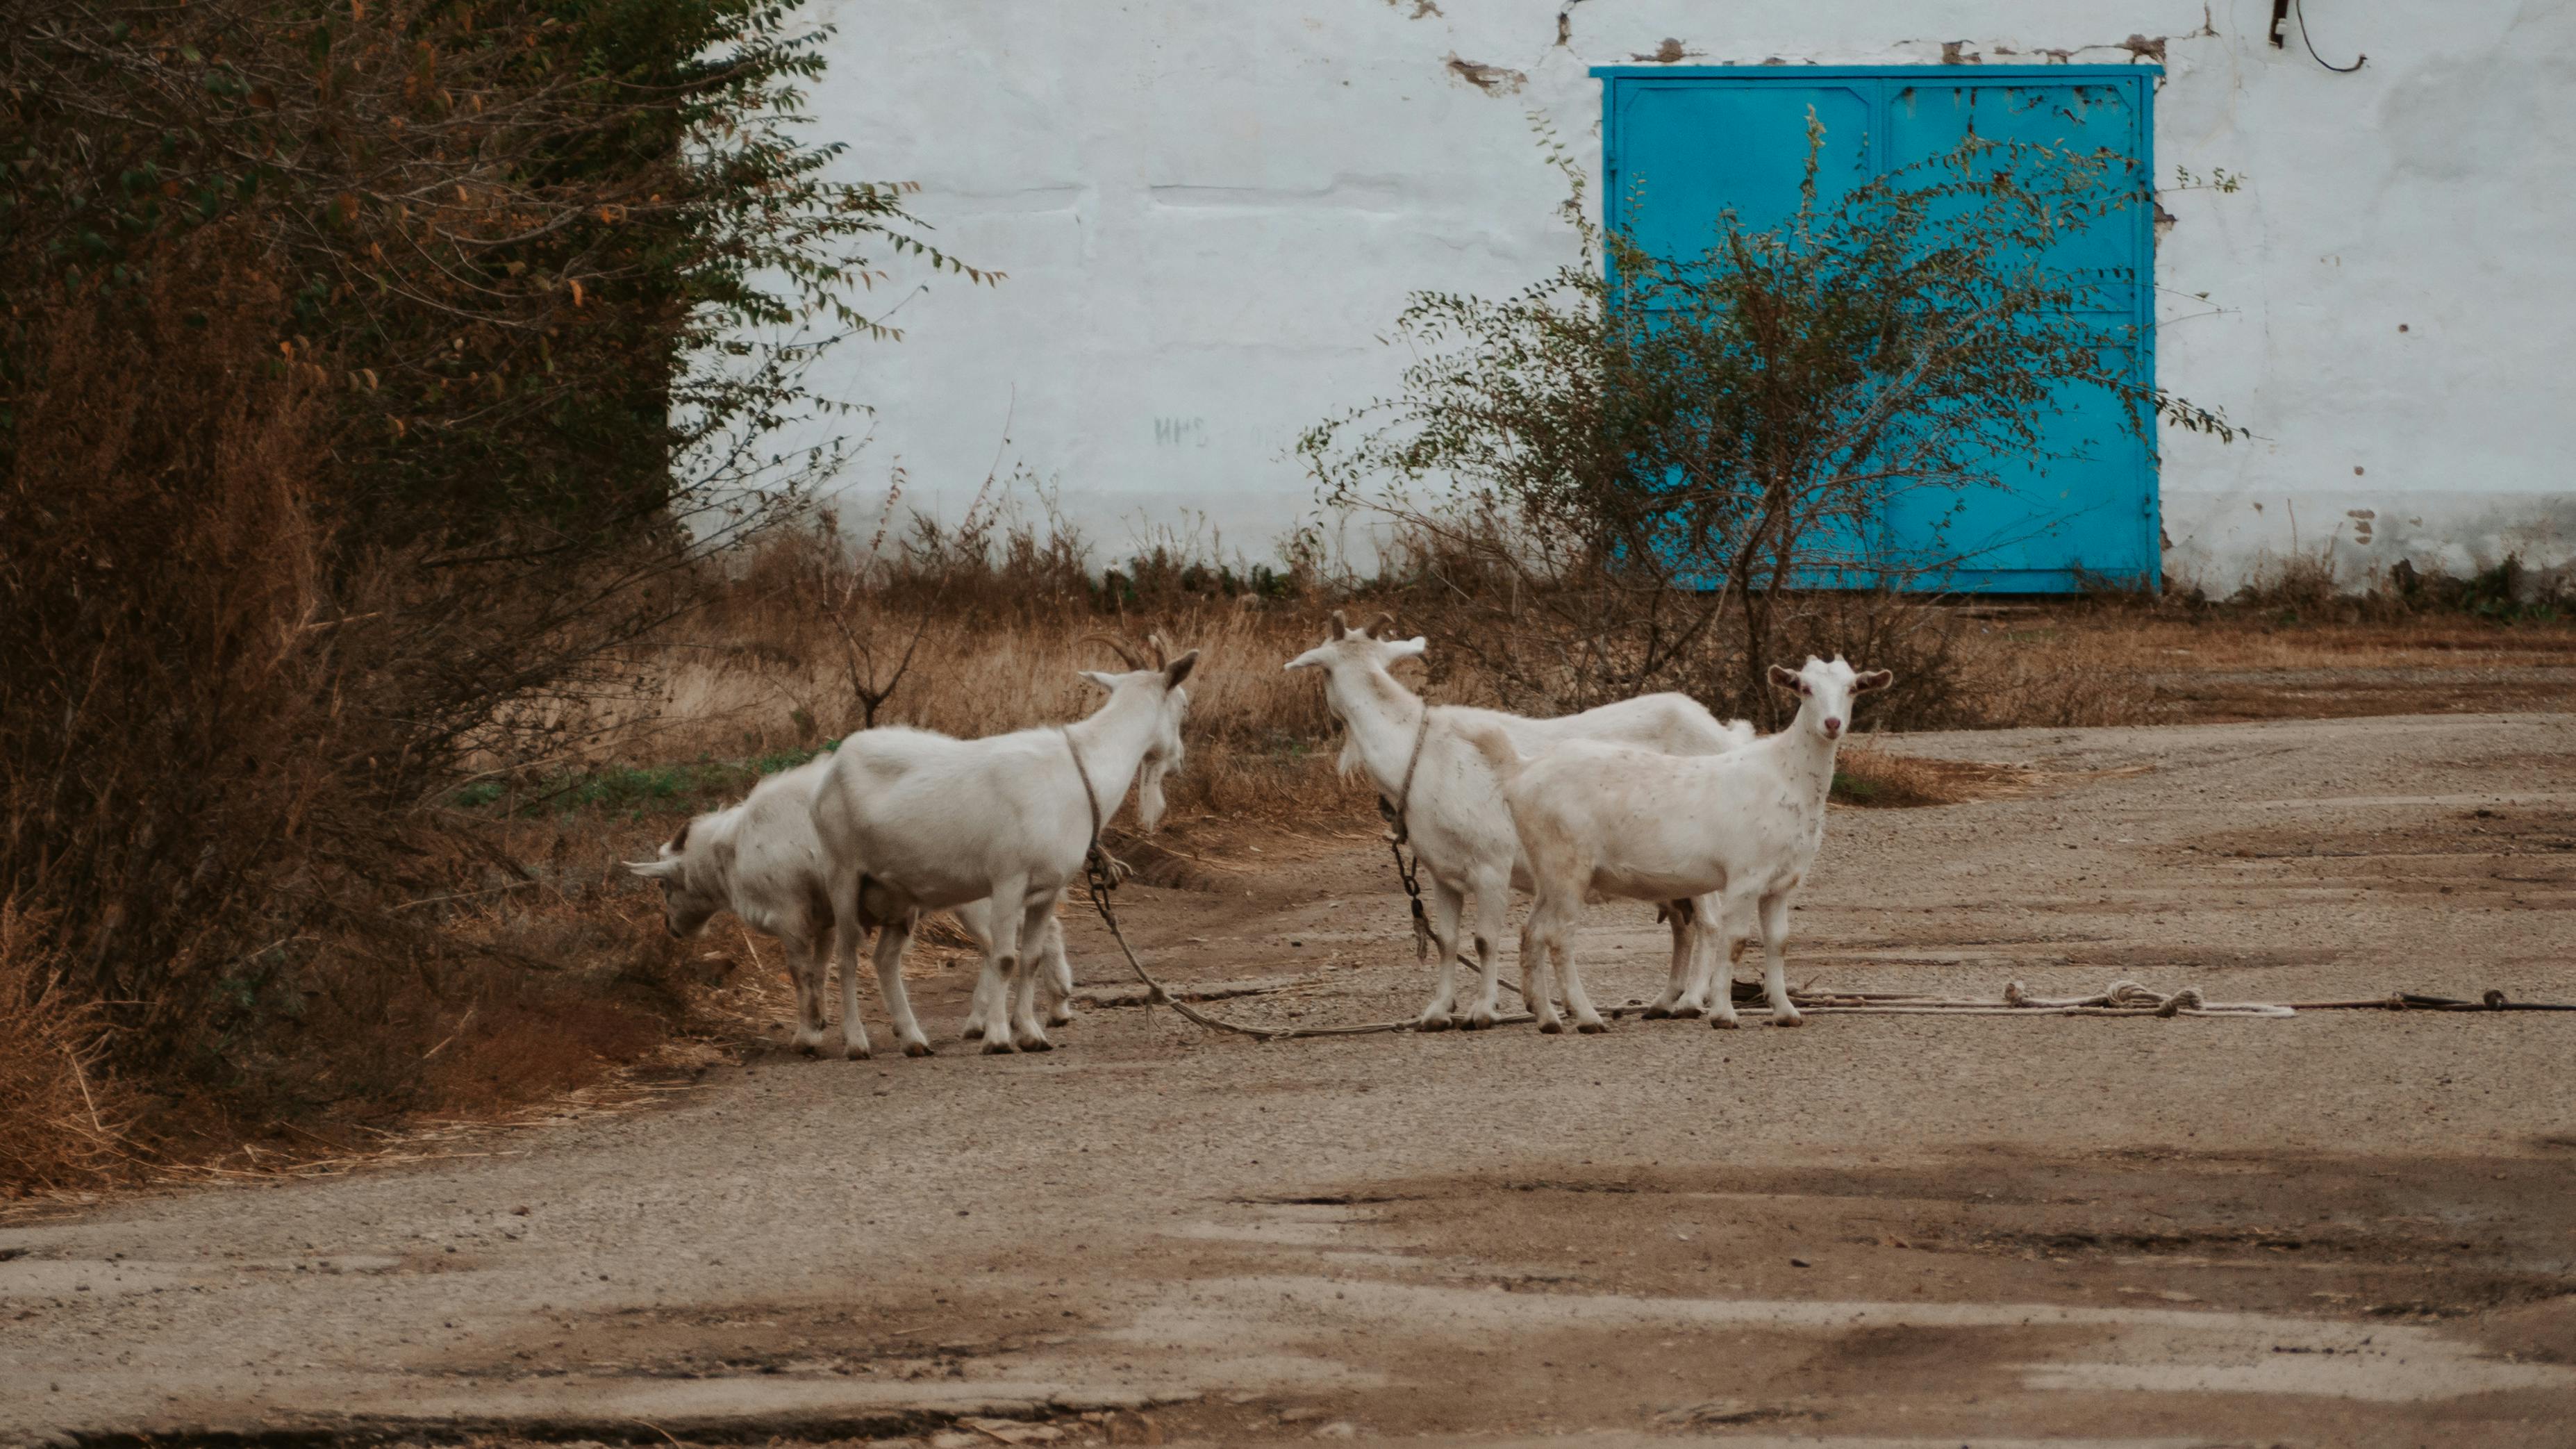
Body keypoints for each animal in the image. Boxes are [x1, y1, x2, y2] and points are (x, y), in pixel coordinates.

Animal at [810, 642, 1199, 1056]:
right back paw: (857, 1042)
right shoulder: (1009, 879)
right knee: (847, 958)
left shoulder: (1047, 889)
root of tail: (832, 770)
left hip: (900, 893)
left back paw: (914, 1039)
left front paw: (1030, 1034)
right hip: (843, 873)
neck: (1078, 774)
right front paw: (997, 1037)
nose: (1179, 760)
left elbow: (1030, 959)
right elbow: (1005, 959)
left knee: (885, 960)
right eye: (1184, 705)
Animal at [1283, 611, 1754, 1031]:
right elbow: (1448, 941)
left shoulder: (1491, 865)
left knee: (1708, 922)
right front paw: (1437, 1012)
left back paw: (1691, 1002)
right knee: (1681, 925)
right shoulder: (1442, 874)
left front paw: (1483, 1011)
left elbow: (1485, 940)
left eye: (1323, 672)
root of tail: (1728, 737)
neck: (1425, 754)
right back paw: (1663, 1002)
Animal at [1464, 655, 1894, 1032]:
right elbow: (1736, 941)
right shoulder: (1746, 875)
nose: (1832, 723)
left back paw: (1547, 1018)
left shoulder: (1781, 883)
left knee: (1532, 932)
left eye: (1853, 688)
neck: (1785, 774)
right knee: (1560, 936)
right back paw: (1587, 1018)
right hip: (1569, 865)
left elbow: (1779, 943)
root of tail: (1521, 771)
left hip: (1547, 870)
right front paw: (1723, 1014)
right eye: (1804, 687)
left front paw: (1785, 1012)